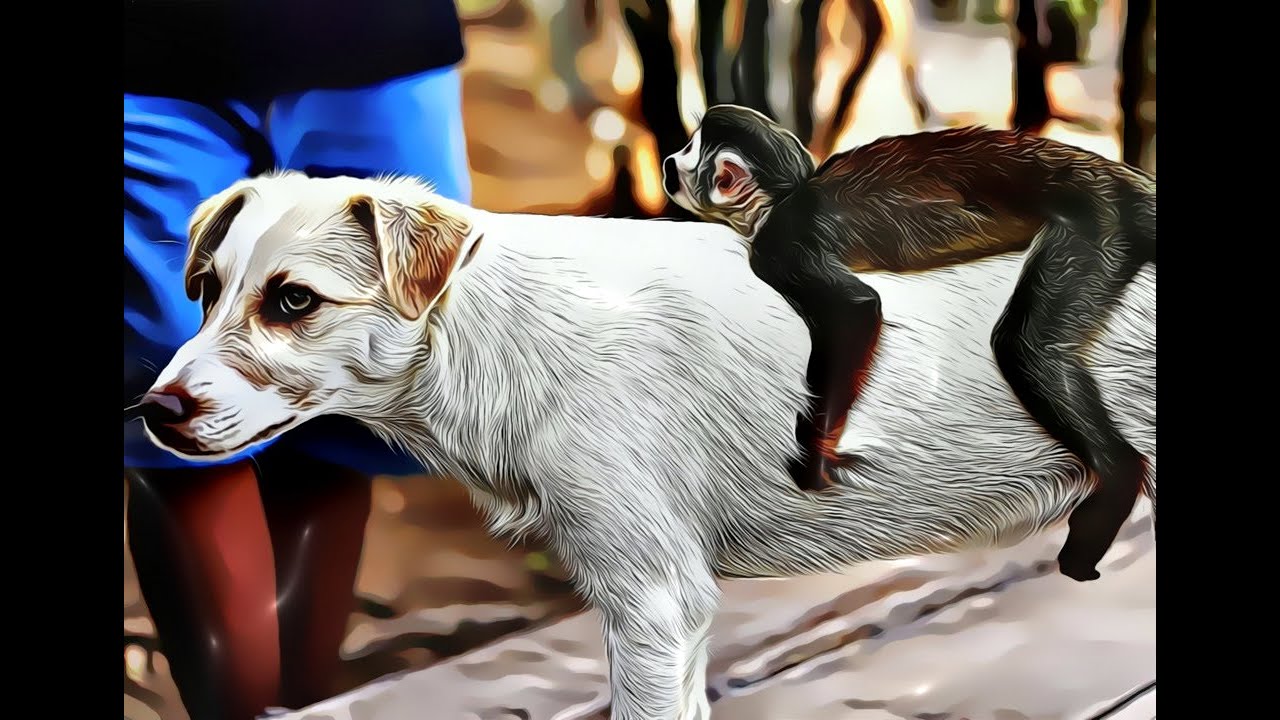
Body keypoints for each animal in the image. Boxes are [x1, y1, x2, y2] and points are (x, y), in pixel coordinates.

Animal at [662, 104, 1155, 582]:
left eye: (689, 152)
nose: (668, 162)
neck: (781, 198)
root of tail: (1119, 175)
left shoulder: (779, 242)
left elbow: (855, 310)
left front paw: (815, 460)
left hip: (1100, 220)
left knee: (1026, 347)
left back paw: (1119, 478)